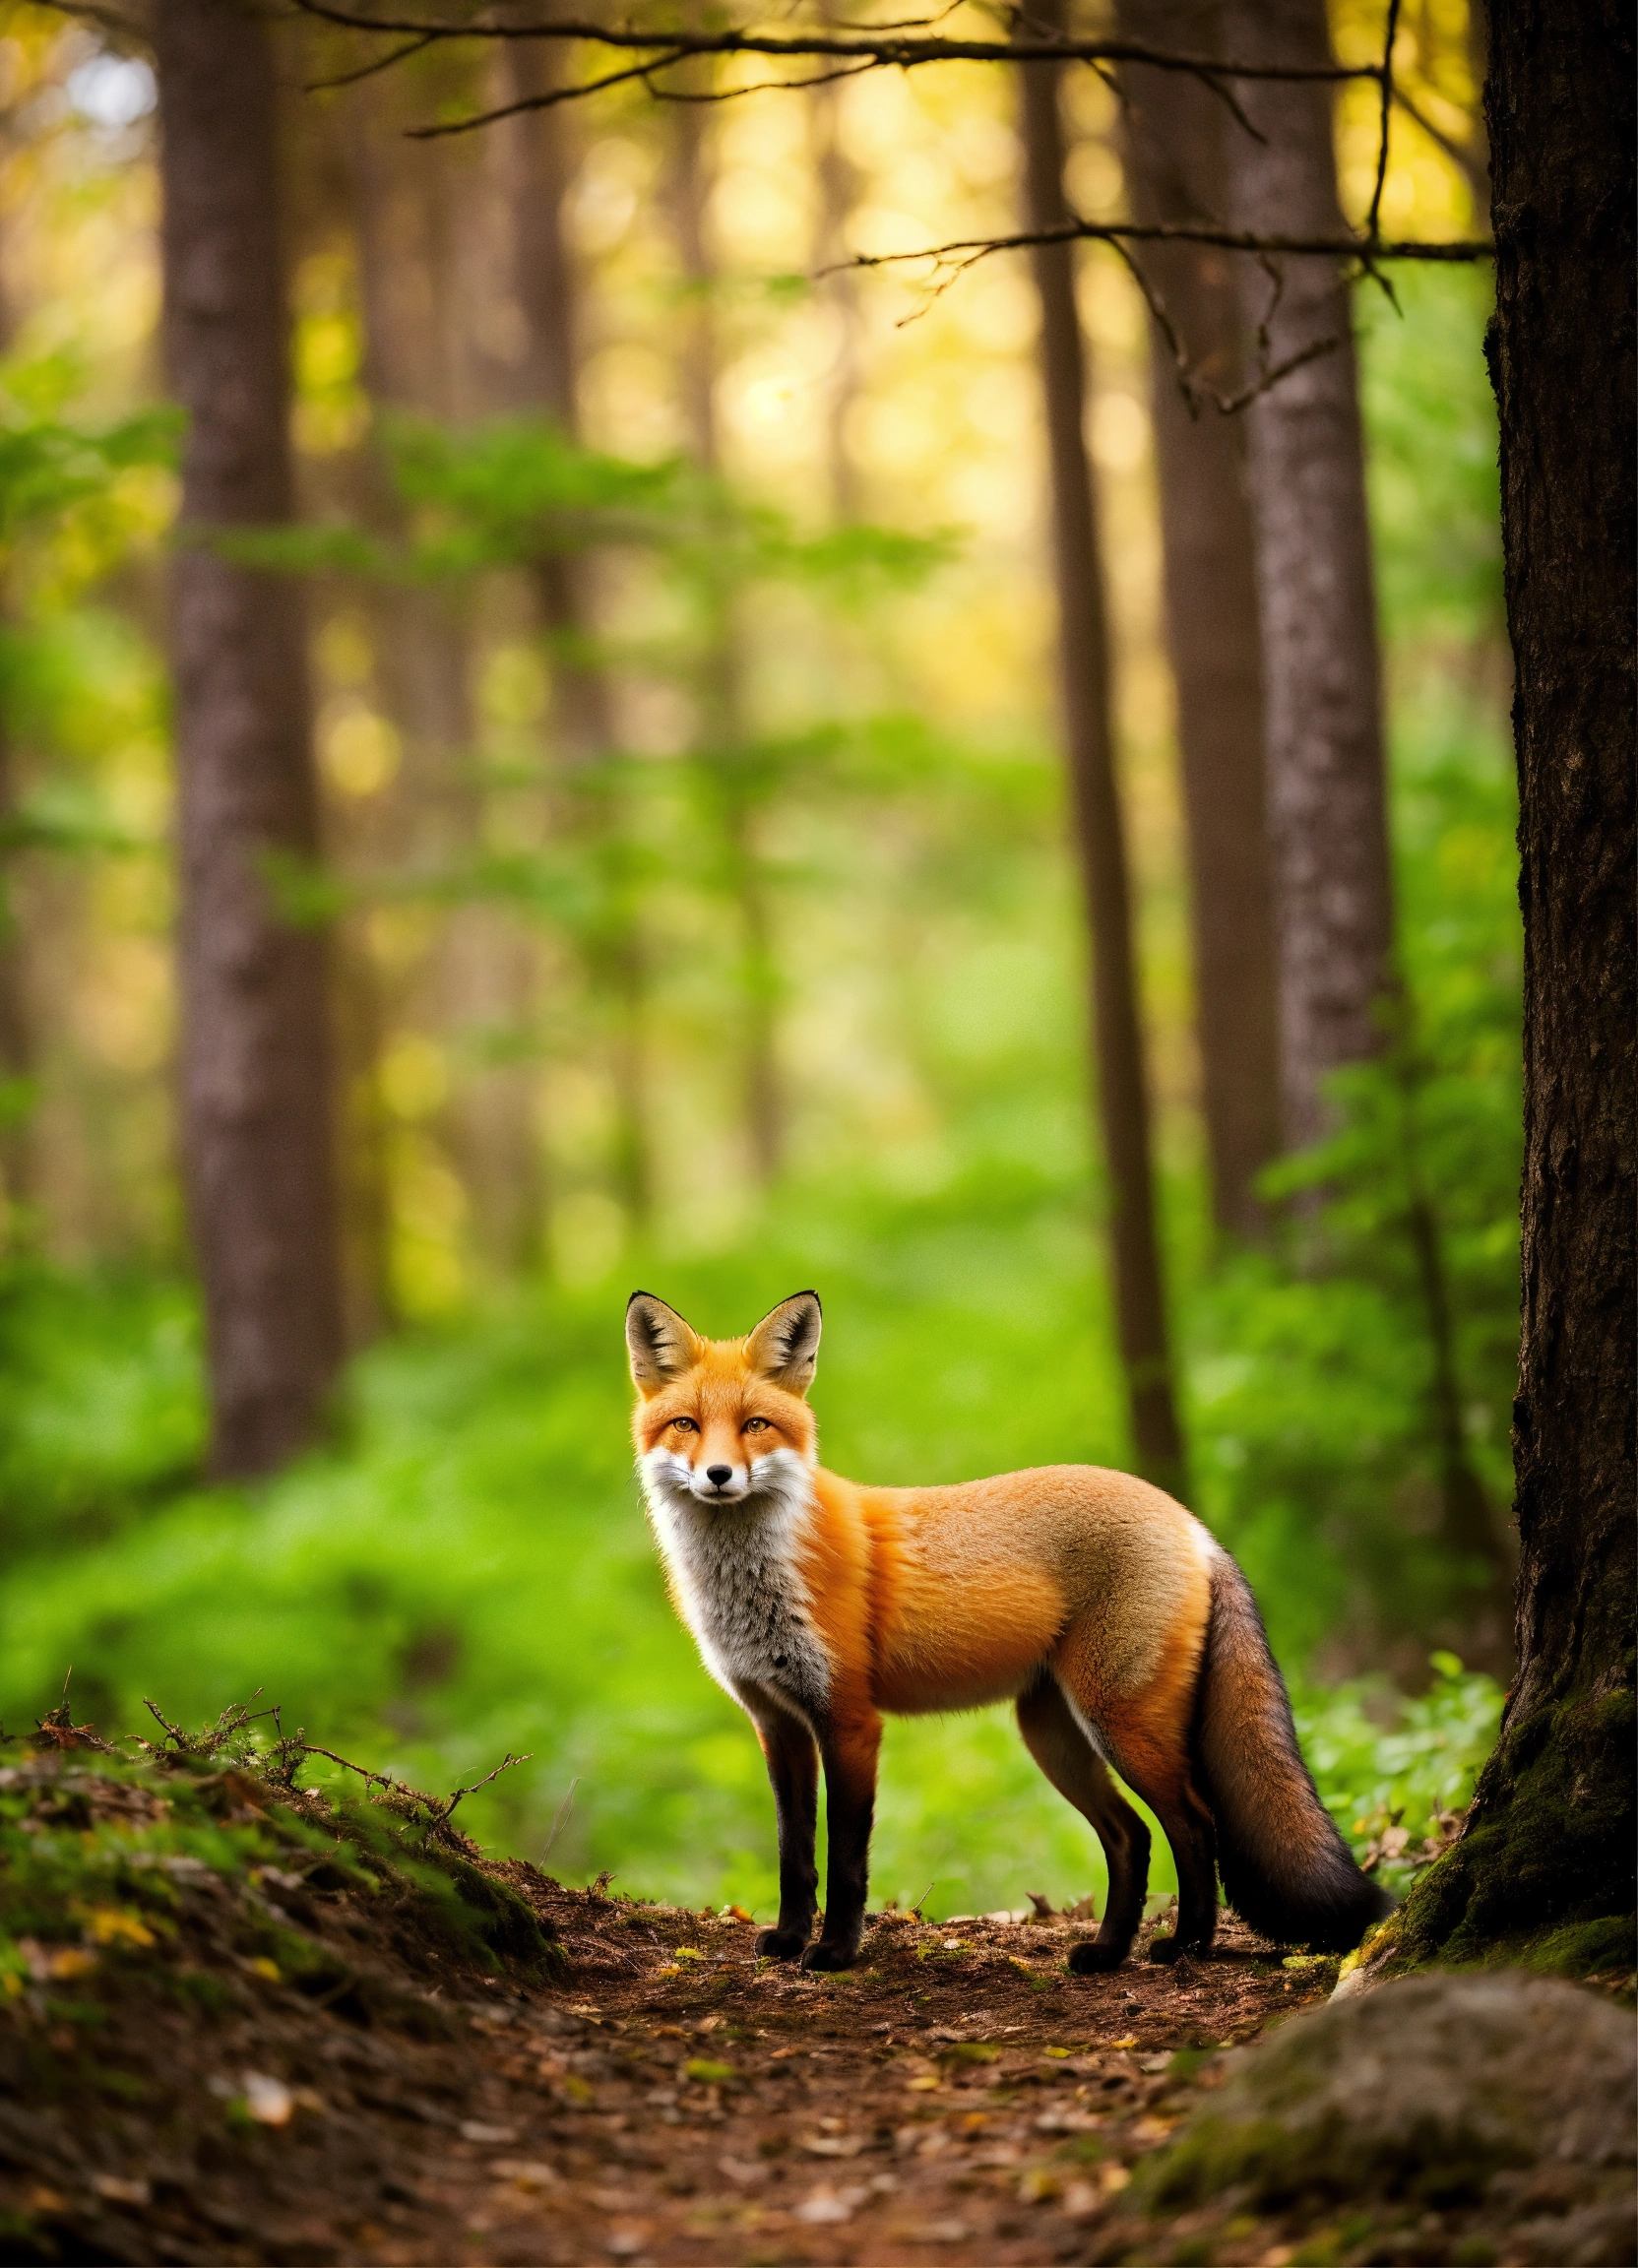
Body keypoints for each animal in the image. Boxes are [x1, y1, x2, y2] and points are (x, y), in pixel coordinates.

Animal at [626, 1287, 1391, 1976]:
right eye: (687, 1425)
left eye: (755, 1424)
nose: (719, 1475)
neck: (753, 1583)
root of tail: (1188, 1520)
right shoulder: (777, 1723)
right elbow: (793, 1854)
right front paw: (788, 1939)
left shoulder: (848, 1720)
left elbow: (844, 1861)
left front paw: (836, 1954)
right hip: (1052, 1733)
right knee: (1131, 1837)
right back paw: (1107, 1953)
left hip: (1121, 1722)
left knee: (1195, 1826)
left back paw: (1187, 1947)